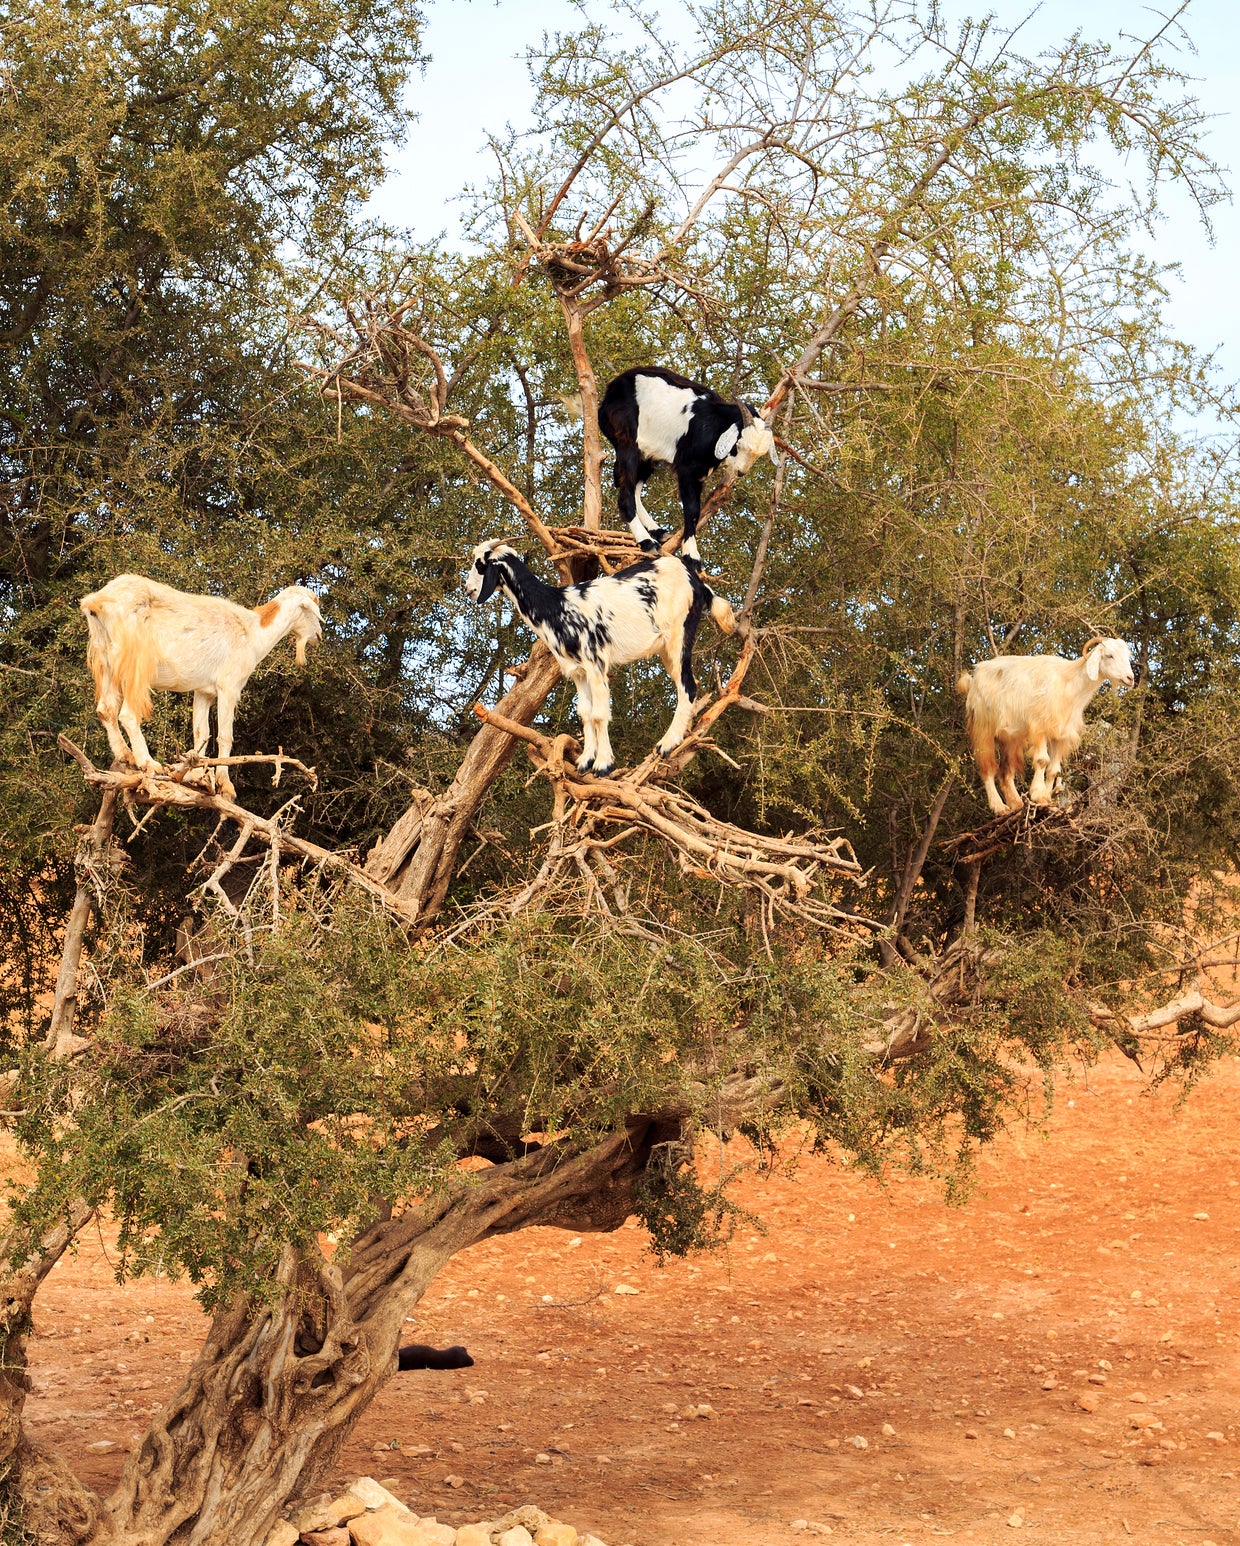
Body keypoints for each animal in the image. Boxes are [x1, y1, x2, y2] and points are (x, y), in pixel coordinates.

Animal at [80, 574, 322, 798]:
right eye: (312, 609)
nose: (319, 635)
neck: (252, 632)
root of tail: (97, 601)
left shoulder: (204, 691)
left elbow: (201, 731)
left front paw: (198, 775)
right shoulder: (229, 686)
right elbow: (225, 735)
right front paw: (225, 784)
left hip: (107, 663)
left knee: (105, 710)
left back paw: (126, 756)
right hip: (136, 666)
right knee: (128, 715)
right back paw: (148, 763)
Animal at [465, 540, 735, 776]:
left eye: (481, 565)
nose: (469, 591)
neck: (556, 605)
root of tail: (696, 581)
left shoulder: (595, 662)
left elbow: (599, 714)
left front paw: (603, 765)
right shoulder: (578, 670)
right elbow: (585, 713)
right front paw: (586, 761)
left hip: (680, 634)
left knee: (687, 685)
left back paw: (666, 744)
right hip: (666, 648)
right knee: (688, 684)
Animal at [598, 366, 778, 563]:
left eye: (758, 455)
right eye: (738, 444)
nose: (740, 472)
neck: (714, 424)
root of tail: (609, 393)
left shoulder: (699, 474)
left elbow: (695, 514)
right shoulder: (687, 471)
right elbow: (692, 510)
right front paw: (692, 555)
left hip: (648, 454)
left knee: (635, 488)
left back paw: (657, 531)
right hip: (628, 442)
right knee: (625, 493)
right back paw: (647, 542)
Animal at [956, 637, 1135, 816]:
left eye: (1127, 656)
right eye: (1109, 655)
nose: (1130, 678)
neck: (1068, 684)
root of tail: (973, 679)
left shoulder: (1061, 735)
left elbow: (1053, 770)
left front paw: (1050, 801)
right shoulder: (1039, 727)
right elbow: (1042, 761)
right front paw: (1039, 795)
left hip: (1011, 737)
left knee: (1006, 771)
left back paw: (1016, 804)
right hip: (983, 727)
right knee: (988, 767)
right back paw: (999, 807)